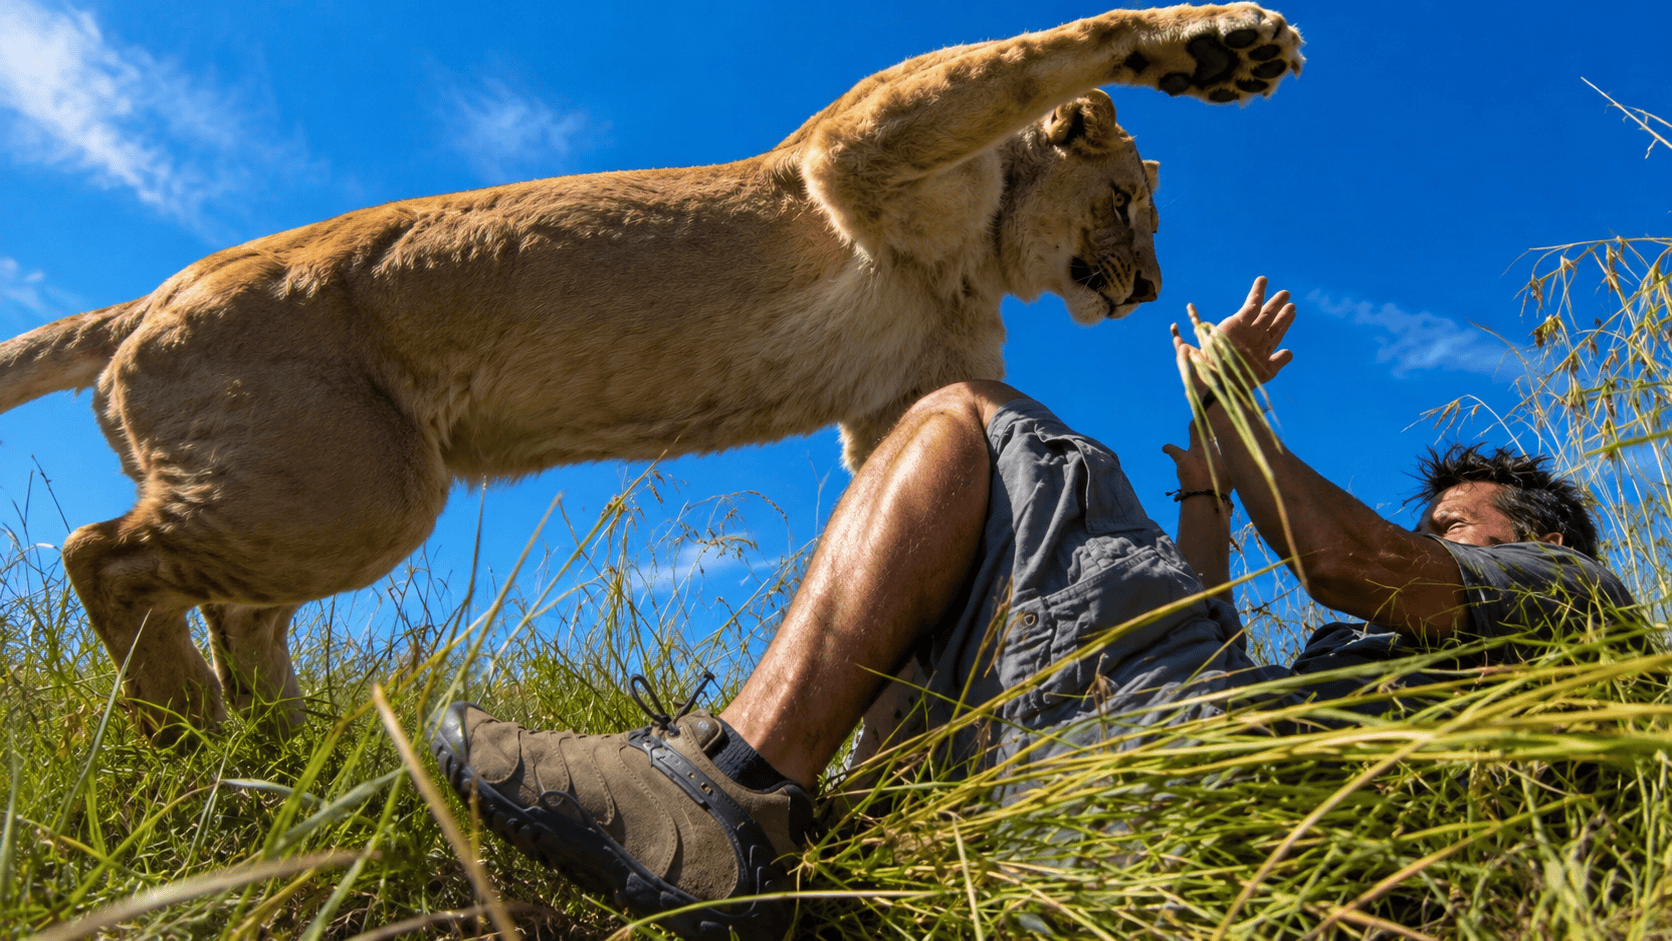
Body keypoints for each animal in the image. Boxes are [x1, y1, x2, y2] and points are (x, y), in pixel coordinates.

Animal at [0, 3, 1302, 743]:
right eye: (1129, 205)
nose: (1145, 288)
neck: (982, 249)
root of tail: (149, 295)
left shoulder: (907, 394)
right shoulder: (854, 147)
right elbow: (1038, 47)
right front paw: (1218, 45)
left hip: (322, 498)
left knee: (232, 607)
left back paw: (277, 757)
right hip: (358, 488)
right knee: (105, 556)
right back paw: (187, 744)